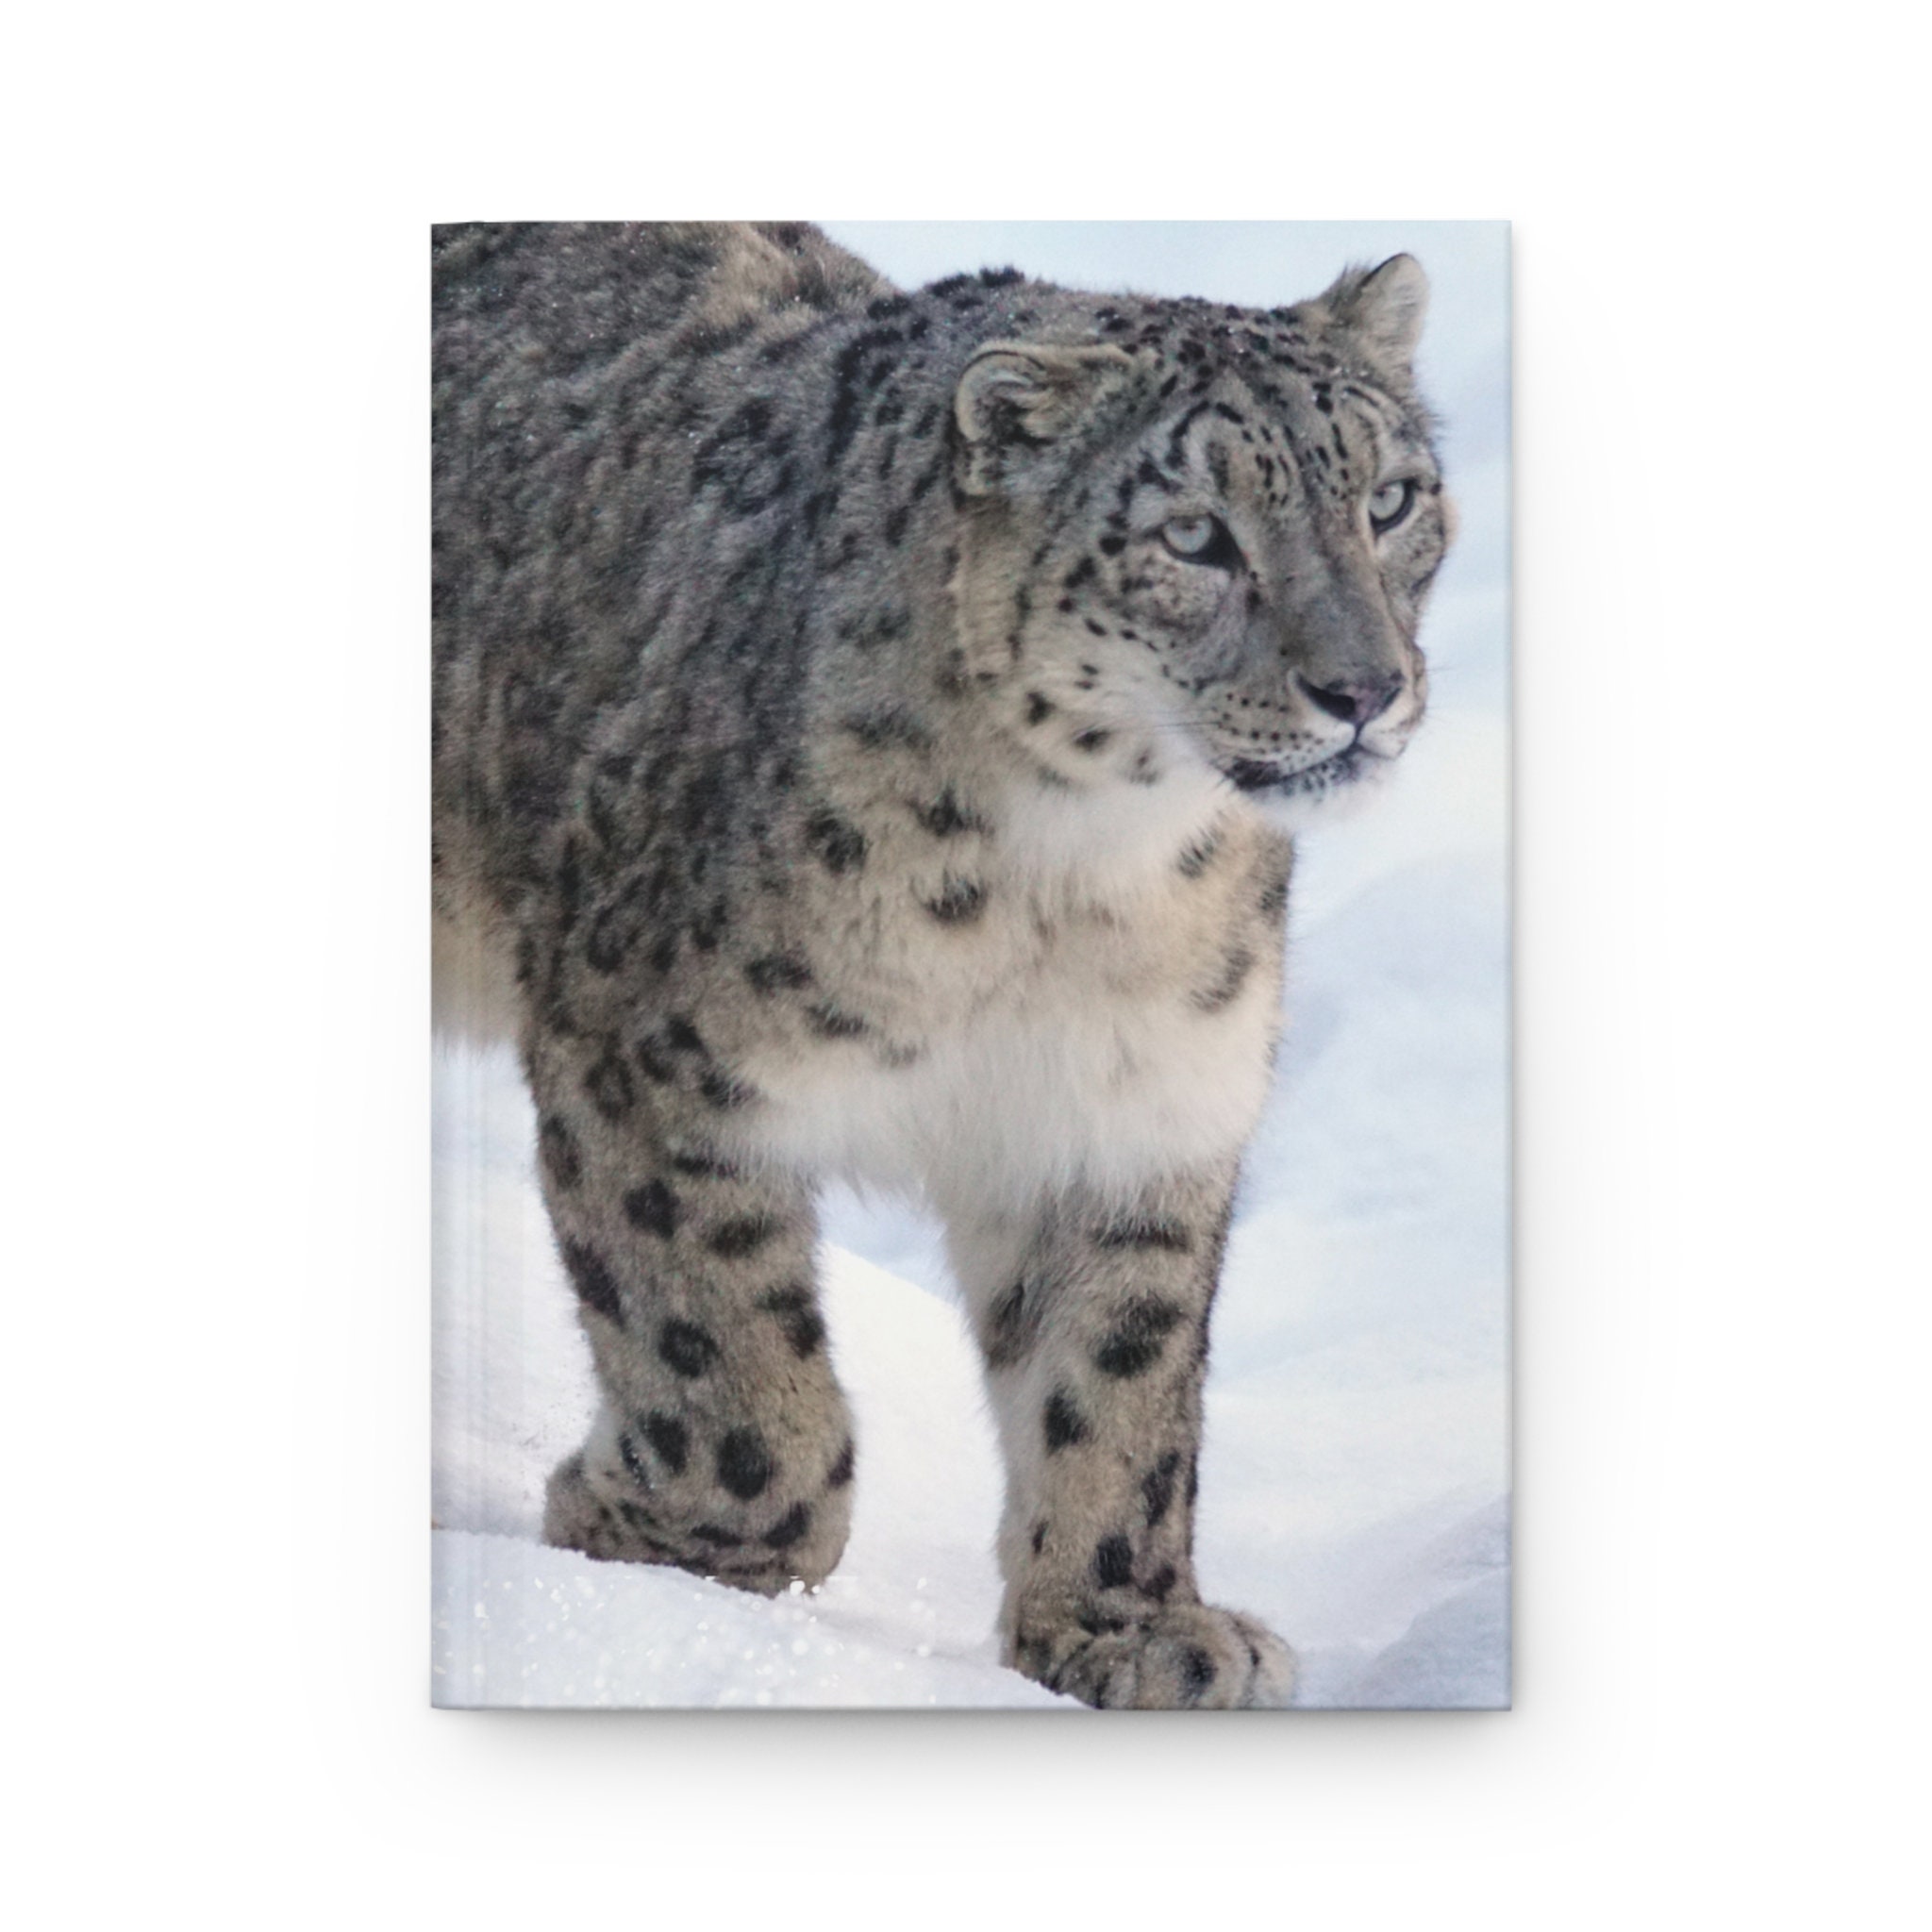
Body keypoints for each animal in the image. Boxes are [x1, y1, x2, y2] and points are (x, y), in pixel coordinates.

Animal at [431, 221, 1453, 1709]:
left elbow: (1121, 1377)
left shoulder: (1137, 1109)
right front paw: (635, 1530)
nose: (1364, 689)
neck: (1075, 888)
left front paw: (1128, 1629)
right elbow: (728, 1367)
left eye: (1388, 502)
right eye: (1194, 535)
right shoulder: (647, 1058)